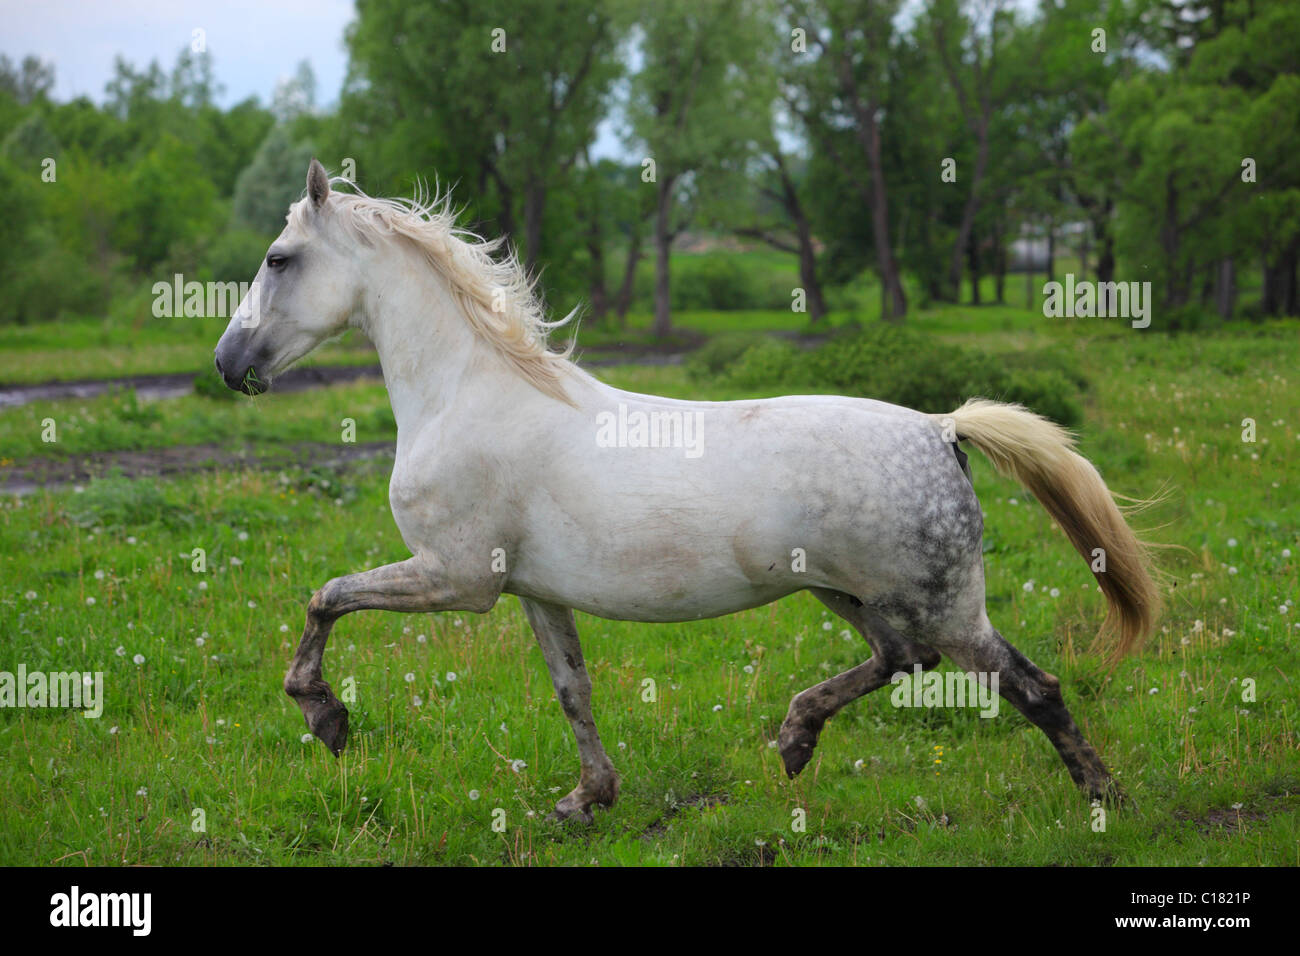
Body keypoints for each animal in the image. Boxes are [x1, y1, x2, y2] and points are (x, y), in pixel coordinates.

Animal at [213, 160, 1161, 822]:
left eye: (278, 257)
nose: (228, 364)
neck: (464, 393)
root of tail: (941, 427)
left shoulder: (454, 579)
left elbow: (325, 597)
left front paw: (325, 718)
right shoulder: (532, 592)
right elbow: (573, 691)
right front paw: (586, 799)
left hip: (945, 606)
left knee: (1032, 688)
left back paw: (1107, 802)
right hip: (852, 593)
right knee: (904, 661)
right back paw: (795, 740)